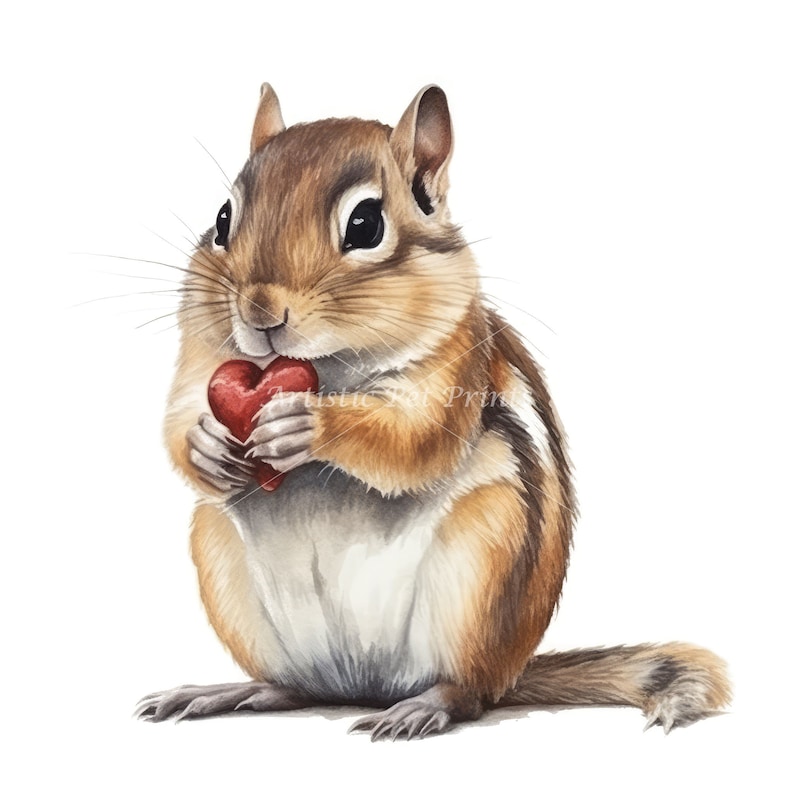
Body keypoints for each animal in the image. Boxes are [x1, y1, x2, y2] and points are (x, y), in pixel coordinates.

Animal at [136, 83, 730, 740]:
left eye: (365, 224)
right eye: (222, 219)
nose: (261, 310)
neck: (329, 367)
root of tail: (363, 688)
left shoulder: (453, 365)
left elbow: (413, 439)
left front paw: (307, 422)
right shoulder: (201, 357)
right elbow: (177, 418)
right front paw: (207, 446)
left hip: (481, 562)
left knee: (469, 694)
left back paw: (423, 707)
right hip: (218, 553)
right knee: (294, 687)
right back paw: (230, 692)